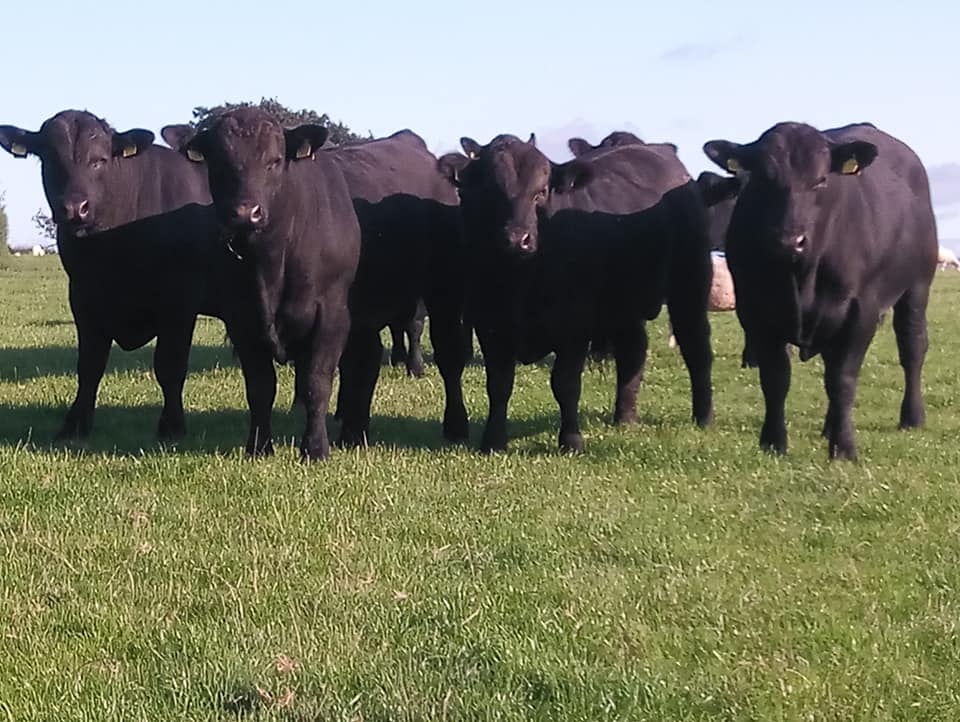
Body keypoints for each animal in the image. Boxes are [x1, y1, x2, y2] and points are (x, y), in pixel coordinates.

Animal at [0, 110, 225, 442]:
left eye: (100, 160)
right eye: (48, 158)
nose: (74, 208)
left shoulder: (180, 301)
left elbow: (169, 365)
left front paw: (171, 426)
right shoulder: (84, 296)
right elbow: (89, 365)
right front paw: (75, 424)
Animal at [179, 108, 361, 460]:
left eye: (274, 161)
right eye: (219, 162)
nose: (244, 212)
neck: (272, 262)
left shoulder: (333, 315)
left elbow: (317, 382)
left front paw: (315, 448)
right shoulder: (242, 319)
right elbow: (261, 388)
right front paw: (259, 447)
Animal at [438, 134, 713, 453]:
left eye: (541, 192)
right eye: (491, 192)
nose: (518, 239)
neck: (521, 277)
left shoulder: (574, 324)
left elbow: (566, 383)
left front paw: (571, 440)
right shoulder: (490, 322)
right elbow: (499, 384)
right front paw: (494, 441)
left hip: (690, 283)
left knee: (696, 346)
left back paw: (704, 416)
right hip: (623, 306)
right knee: (633, 350)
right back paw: (625, 415)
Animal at [703, 122, 938, 460]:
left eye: (822, 180)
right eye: (763, 179)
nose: (790, 240)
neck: (801, 277)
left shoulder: (860, 310)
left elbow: (842, 379)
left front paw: (844, 448)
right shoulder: (755, 309)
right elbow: (775, 378)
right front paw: (773, 442)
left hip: (917, 287)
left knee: (913, 347)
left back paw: (912, 417)